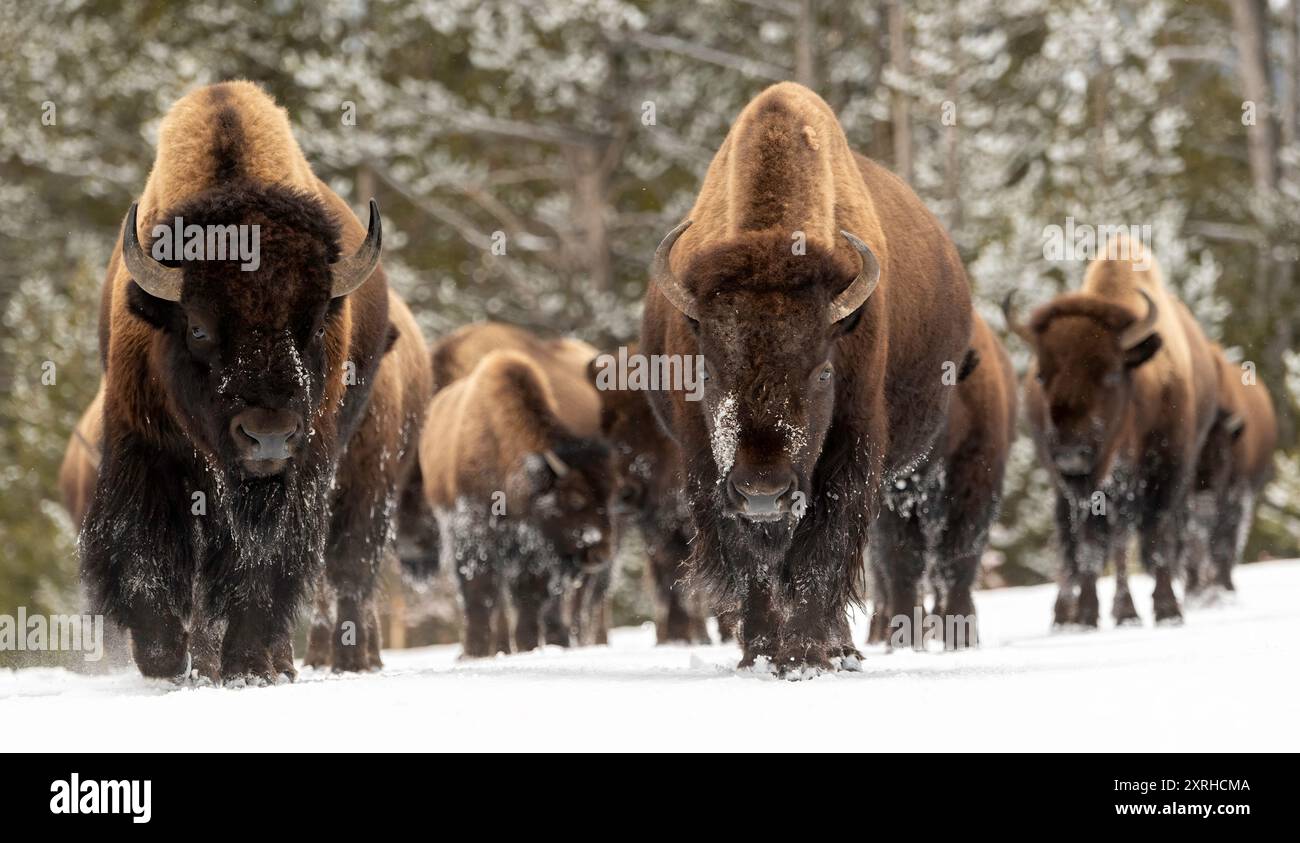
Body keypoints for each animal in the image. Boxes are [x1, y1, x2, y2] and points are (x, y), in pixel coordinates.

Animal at [81, 81, 431, 683]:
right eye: (197, 326)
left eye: (314, 325)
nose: (267, 436)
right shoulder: (144, 445)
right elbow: (148, 555)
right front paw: (165, 657)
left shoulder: (304, 470)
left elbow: (265, 568)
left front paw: (248, 665)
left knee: (344, 572)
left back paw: (311, 661)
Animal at [640, 82, 973, 676]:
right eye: (708, 367)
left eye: (823, 371)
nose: (763, 491)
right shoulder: (708, 464)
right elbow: (752, 559)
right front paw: (763, 652)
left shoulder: (852, 446)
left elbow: (823, 546)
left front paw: (806, 654)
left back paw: (841, 649)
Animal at [1006, 238, 1217, 627]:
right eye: (1041, 375)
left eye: (1111, 374)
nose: (1071, 456)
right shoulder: (1087, 489)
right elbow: (1091, 544)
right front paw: (1091, 612)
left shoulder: (1164, 472)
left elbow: (1153, 537)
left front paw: (1163, 609)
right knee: (1067, 542)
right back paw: (1065, 614)